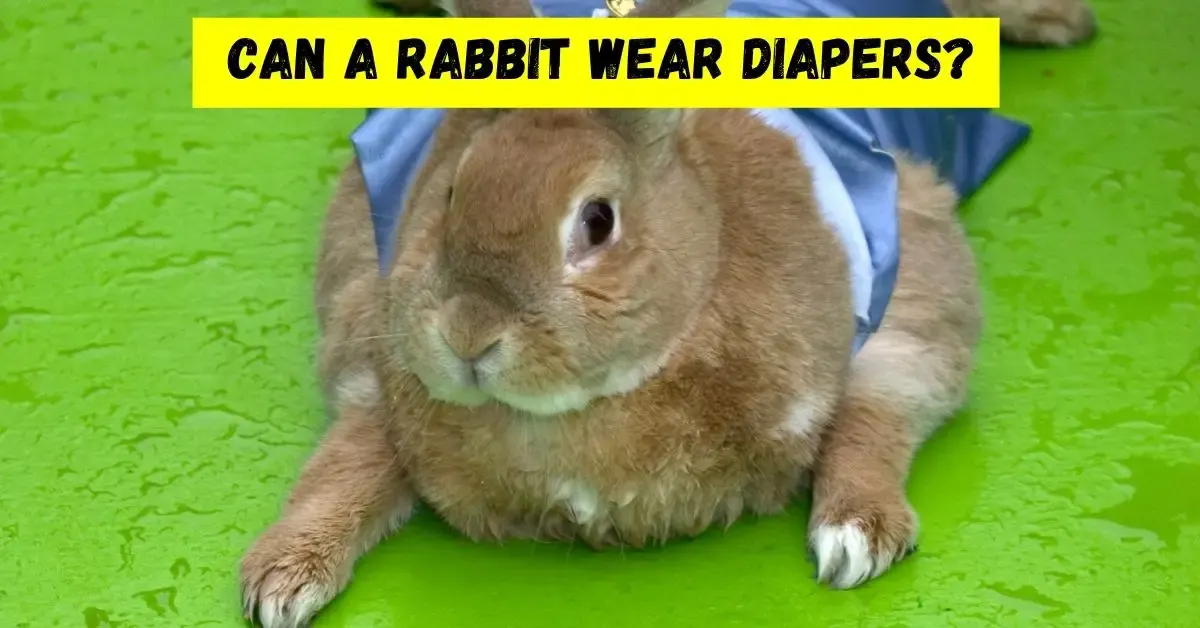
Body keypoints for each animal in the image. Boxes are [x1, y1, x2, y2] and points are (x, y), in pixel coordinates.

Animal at [239, 0, 1097, 626]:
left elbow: (876, 414)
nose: (467, 334)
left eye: (597, 222)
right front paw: (281, 579)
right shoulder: (370, 338)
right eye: (450, 190)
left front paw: (858, 536)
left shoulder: (911, 279)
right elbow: (348, 461)